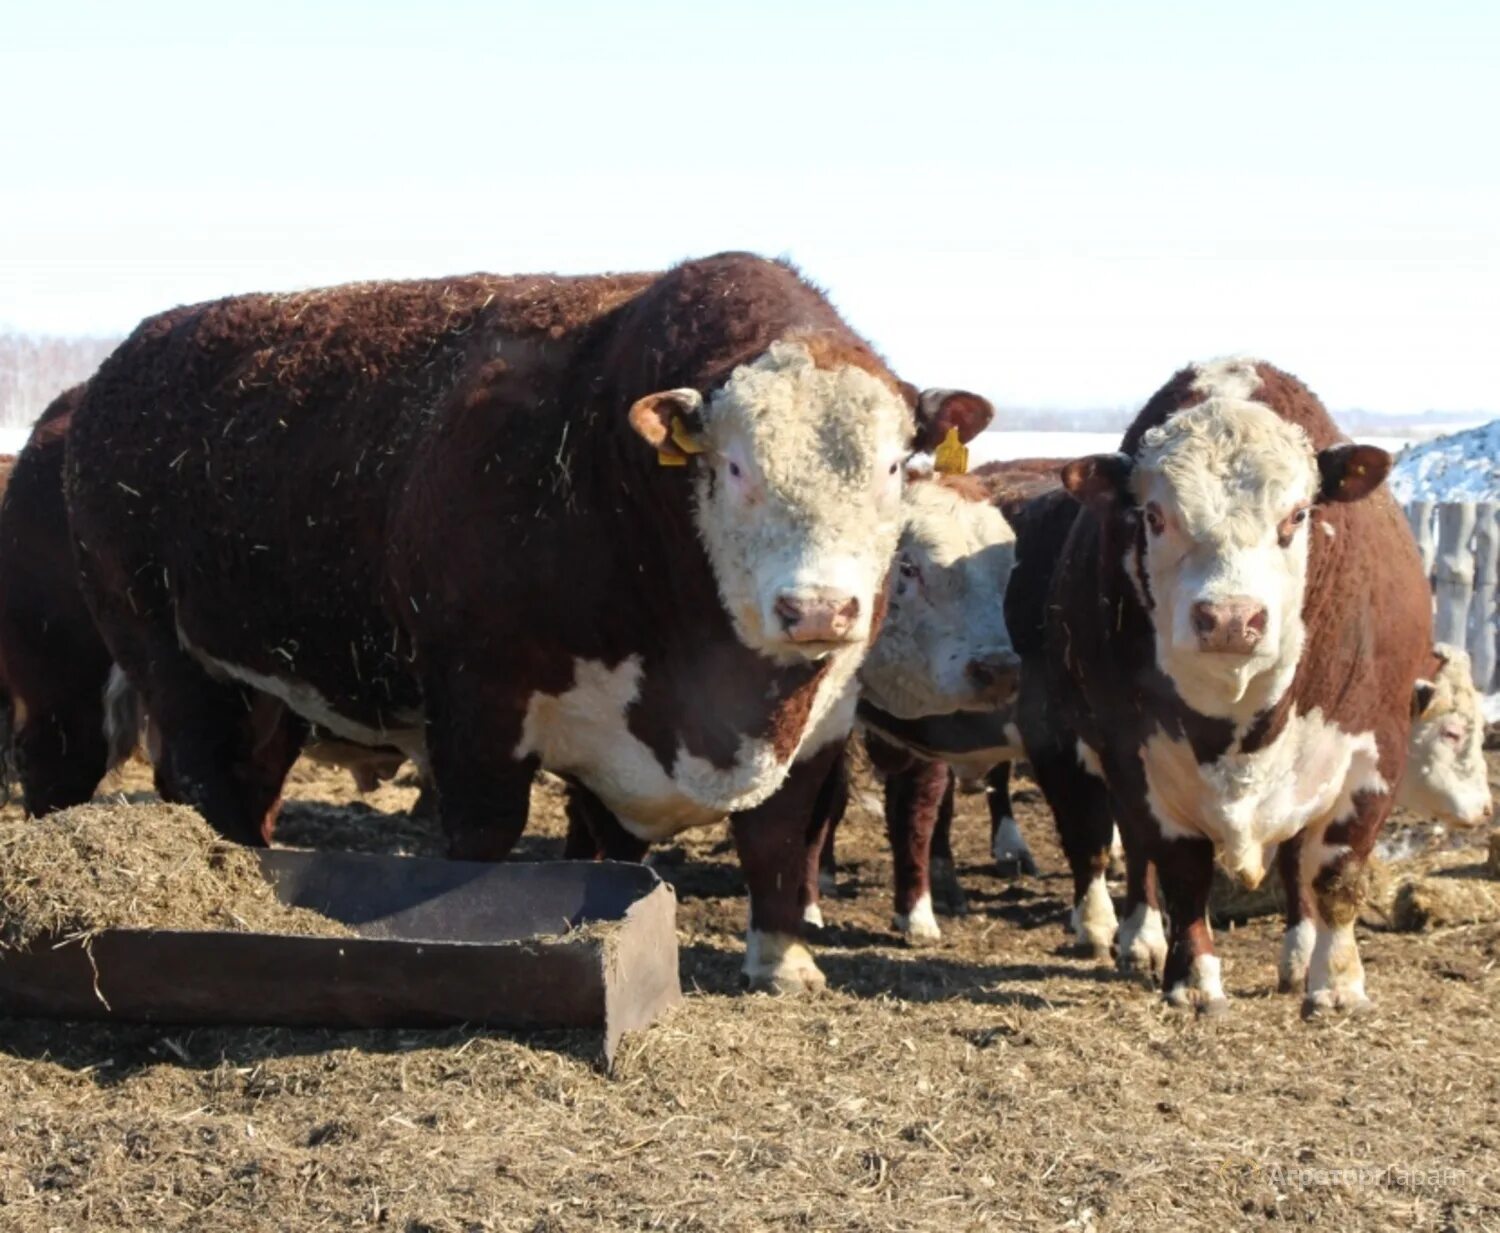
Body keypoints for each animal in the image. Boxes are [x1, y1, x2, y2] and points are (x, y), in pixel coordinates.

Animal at [64, 250, 990, 996]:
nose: (818, 608)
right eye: (733, 467)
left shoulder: (821, 717)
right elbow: (483, 838)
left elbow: (776, 837)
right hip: (159, 646)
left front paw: (783, 963)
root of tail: (126, 362)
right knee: (200, 775)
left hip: (265, 686)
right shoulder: (477, 700)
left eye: (893, 469)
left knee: (249, 784)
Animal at [1020, 357, 1428, 1014]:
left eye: (1297, 515)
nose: (1232, 618)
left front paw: (1337, 981)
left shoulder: (1377, 748)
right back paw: (1137, 938)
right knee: (1124, 850)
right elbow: (1181, 870)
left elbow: (1337, 873)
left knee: (1296, 860)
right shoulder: (1135, 753)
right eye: (1155, 516)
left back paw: (1298, 955)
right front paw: (1192, 980)